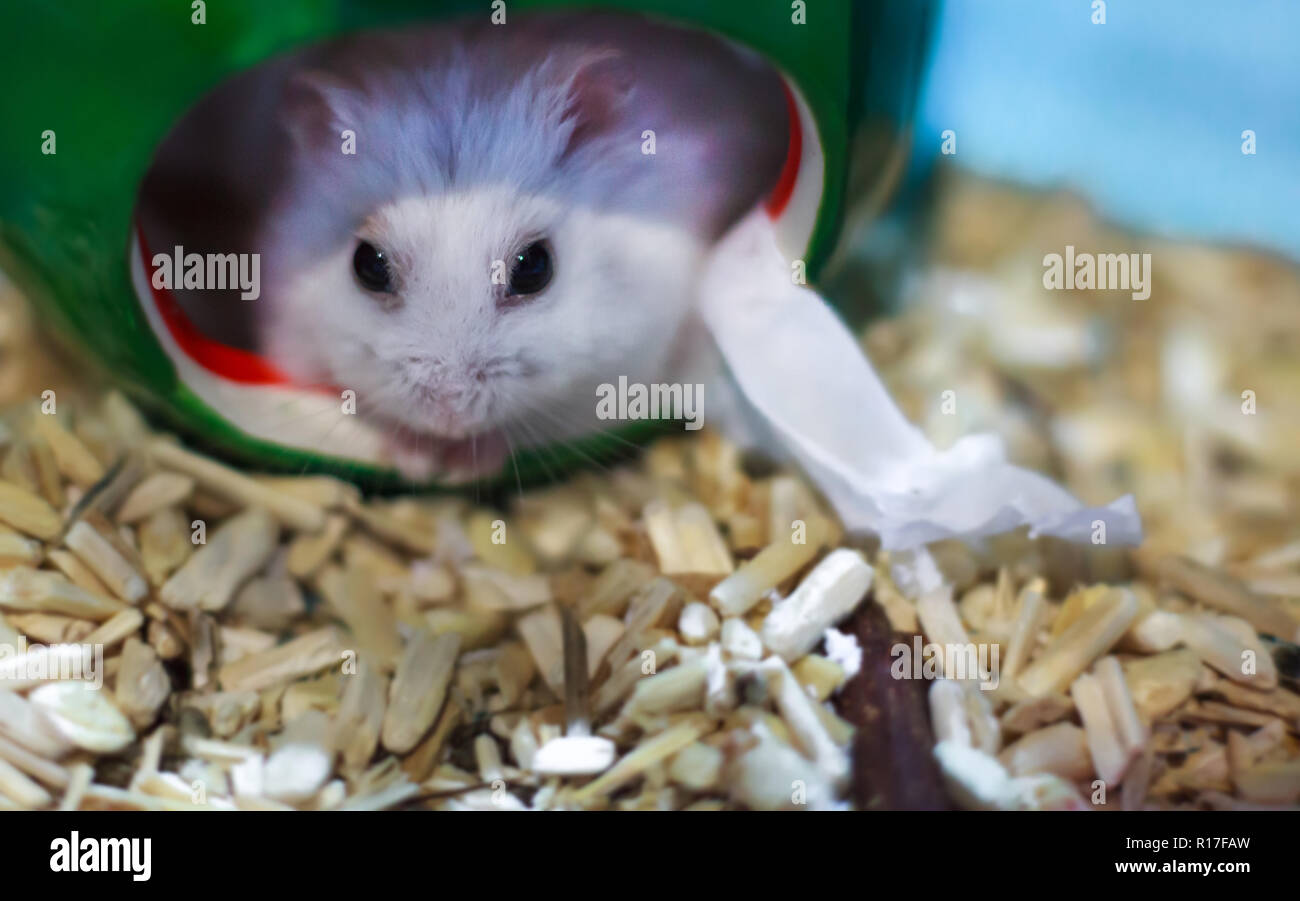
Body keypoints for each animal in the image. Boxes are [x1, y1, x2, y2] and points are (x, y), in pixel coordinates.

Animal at [178, 13, 789, 480]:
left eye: (535, 267)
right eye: (367, 265)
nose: (448, 414)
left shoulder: (637, 360)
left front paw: (467, 461)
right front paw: (418, 459)